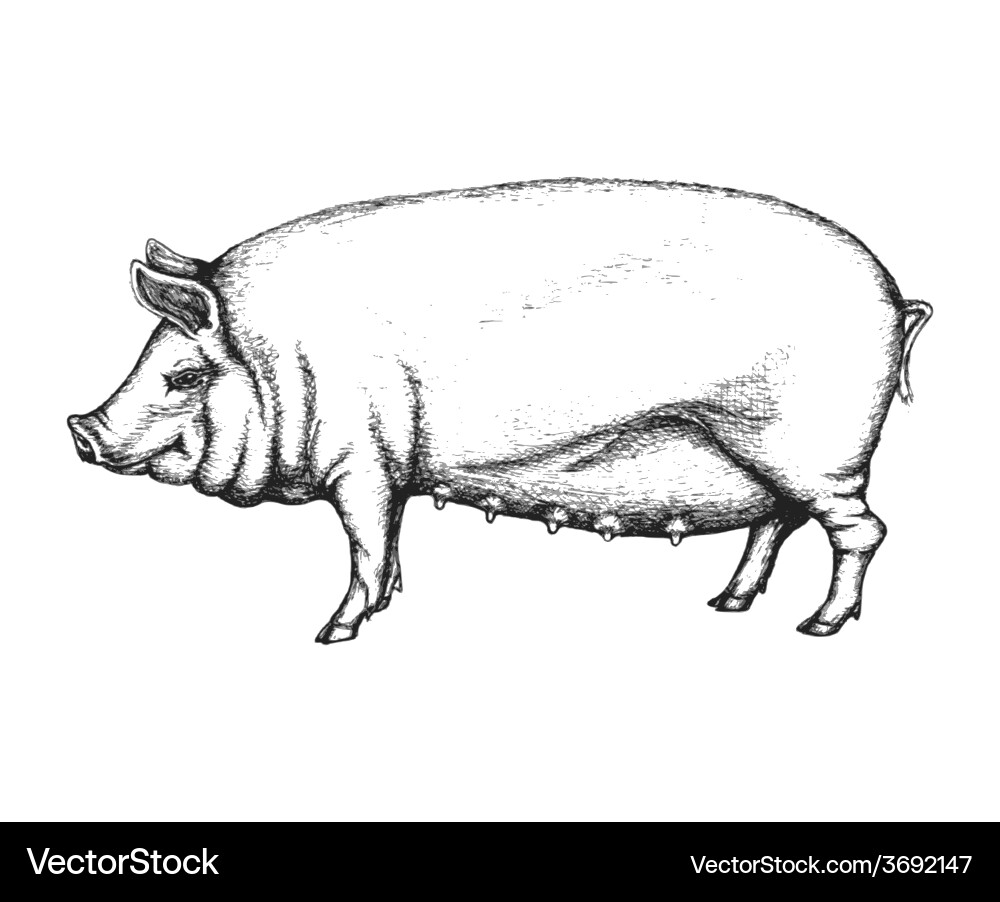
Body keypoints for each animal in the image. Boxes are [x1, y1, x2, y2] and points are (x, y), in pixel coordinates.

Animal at [67, 178, 932, 641]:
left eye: (182, 374)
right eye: (145, 361)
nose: (79, 429)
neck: (286, 366)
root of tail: (897, 301)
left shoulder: (363, 461)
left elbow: (363, 545)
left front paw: (333, 632)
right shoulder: (394, 471)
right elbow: (389, 544)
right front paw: (392, 603)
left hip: (813, 449)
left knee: (861, 530)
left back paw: (817, 626)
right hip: (776, 459)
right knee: (778, 523)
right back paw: (726, 603)